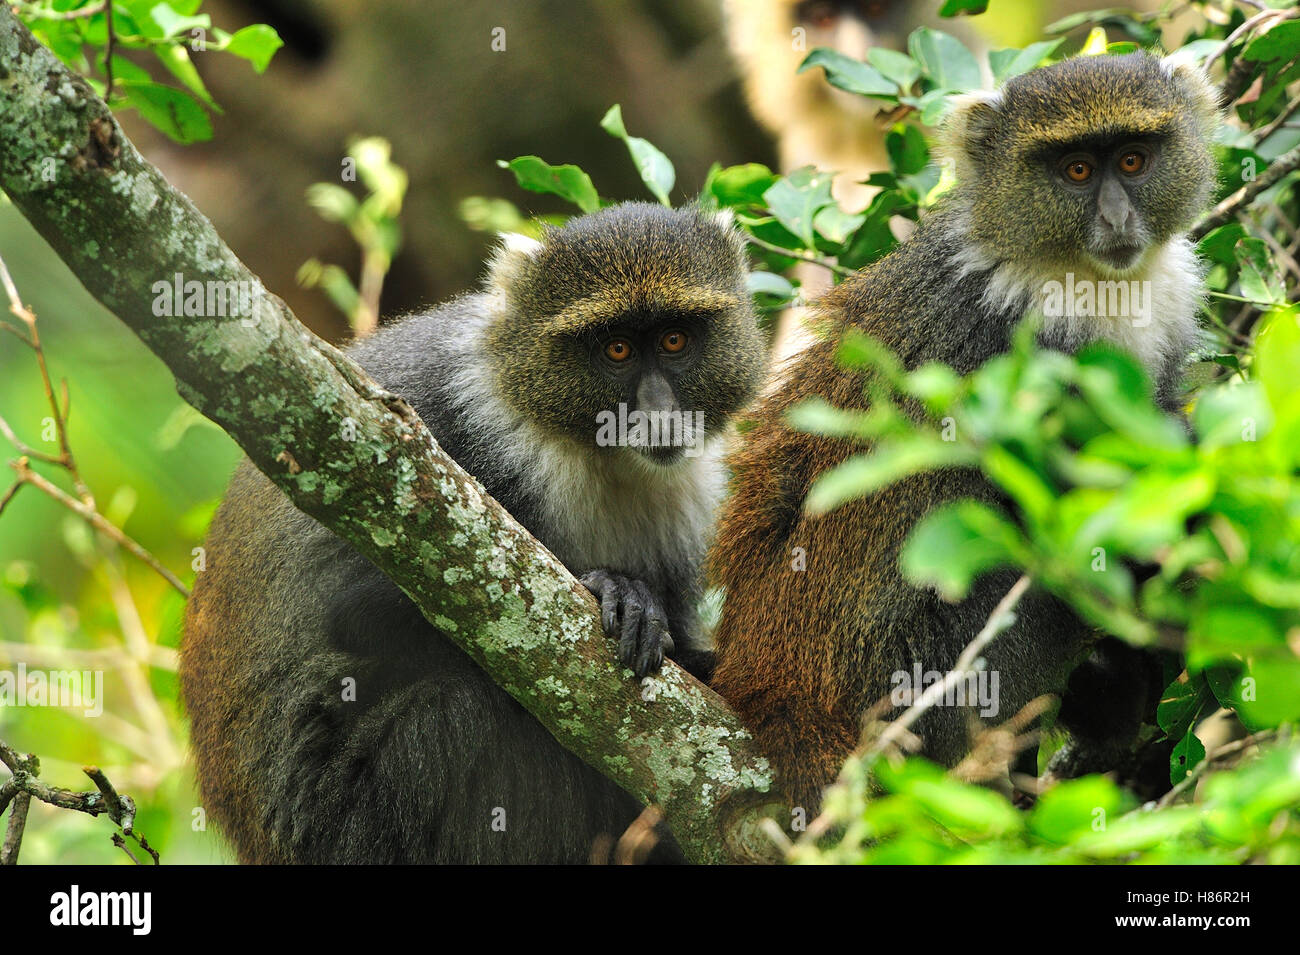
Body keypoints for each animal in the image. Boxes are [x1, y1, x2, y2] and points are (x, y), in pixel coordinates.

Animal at [180, 202, 767, 864]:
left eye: (674, 340)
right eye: (615, 350)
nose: (661, 414)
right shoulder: (445, 441)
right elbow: (361, 611)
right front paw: (620, 592)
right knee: (471, 711)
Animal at [707, 52, 1220, 812]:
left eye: (1132, 159)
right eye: (1074, 170)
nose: (1117, 218)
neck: (1073, 269)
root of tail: (773, 694)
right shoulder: (1031, 351)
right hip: (921, 691)